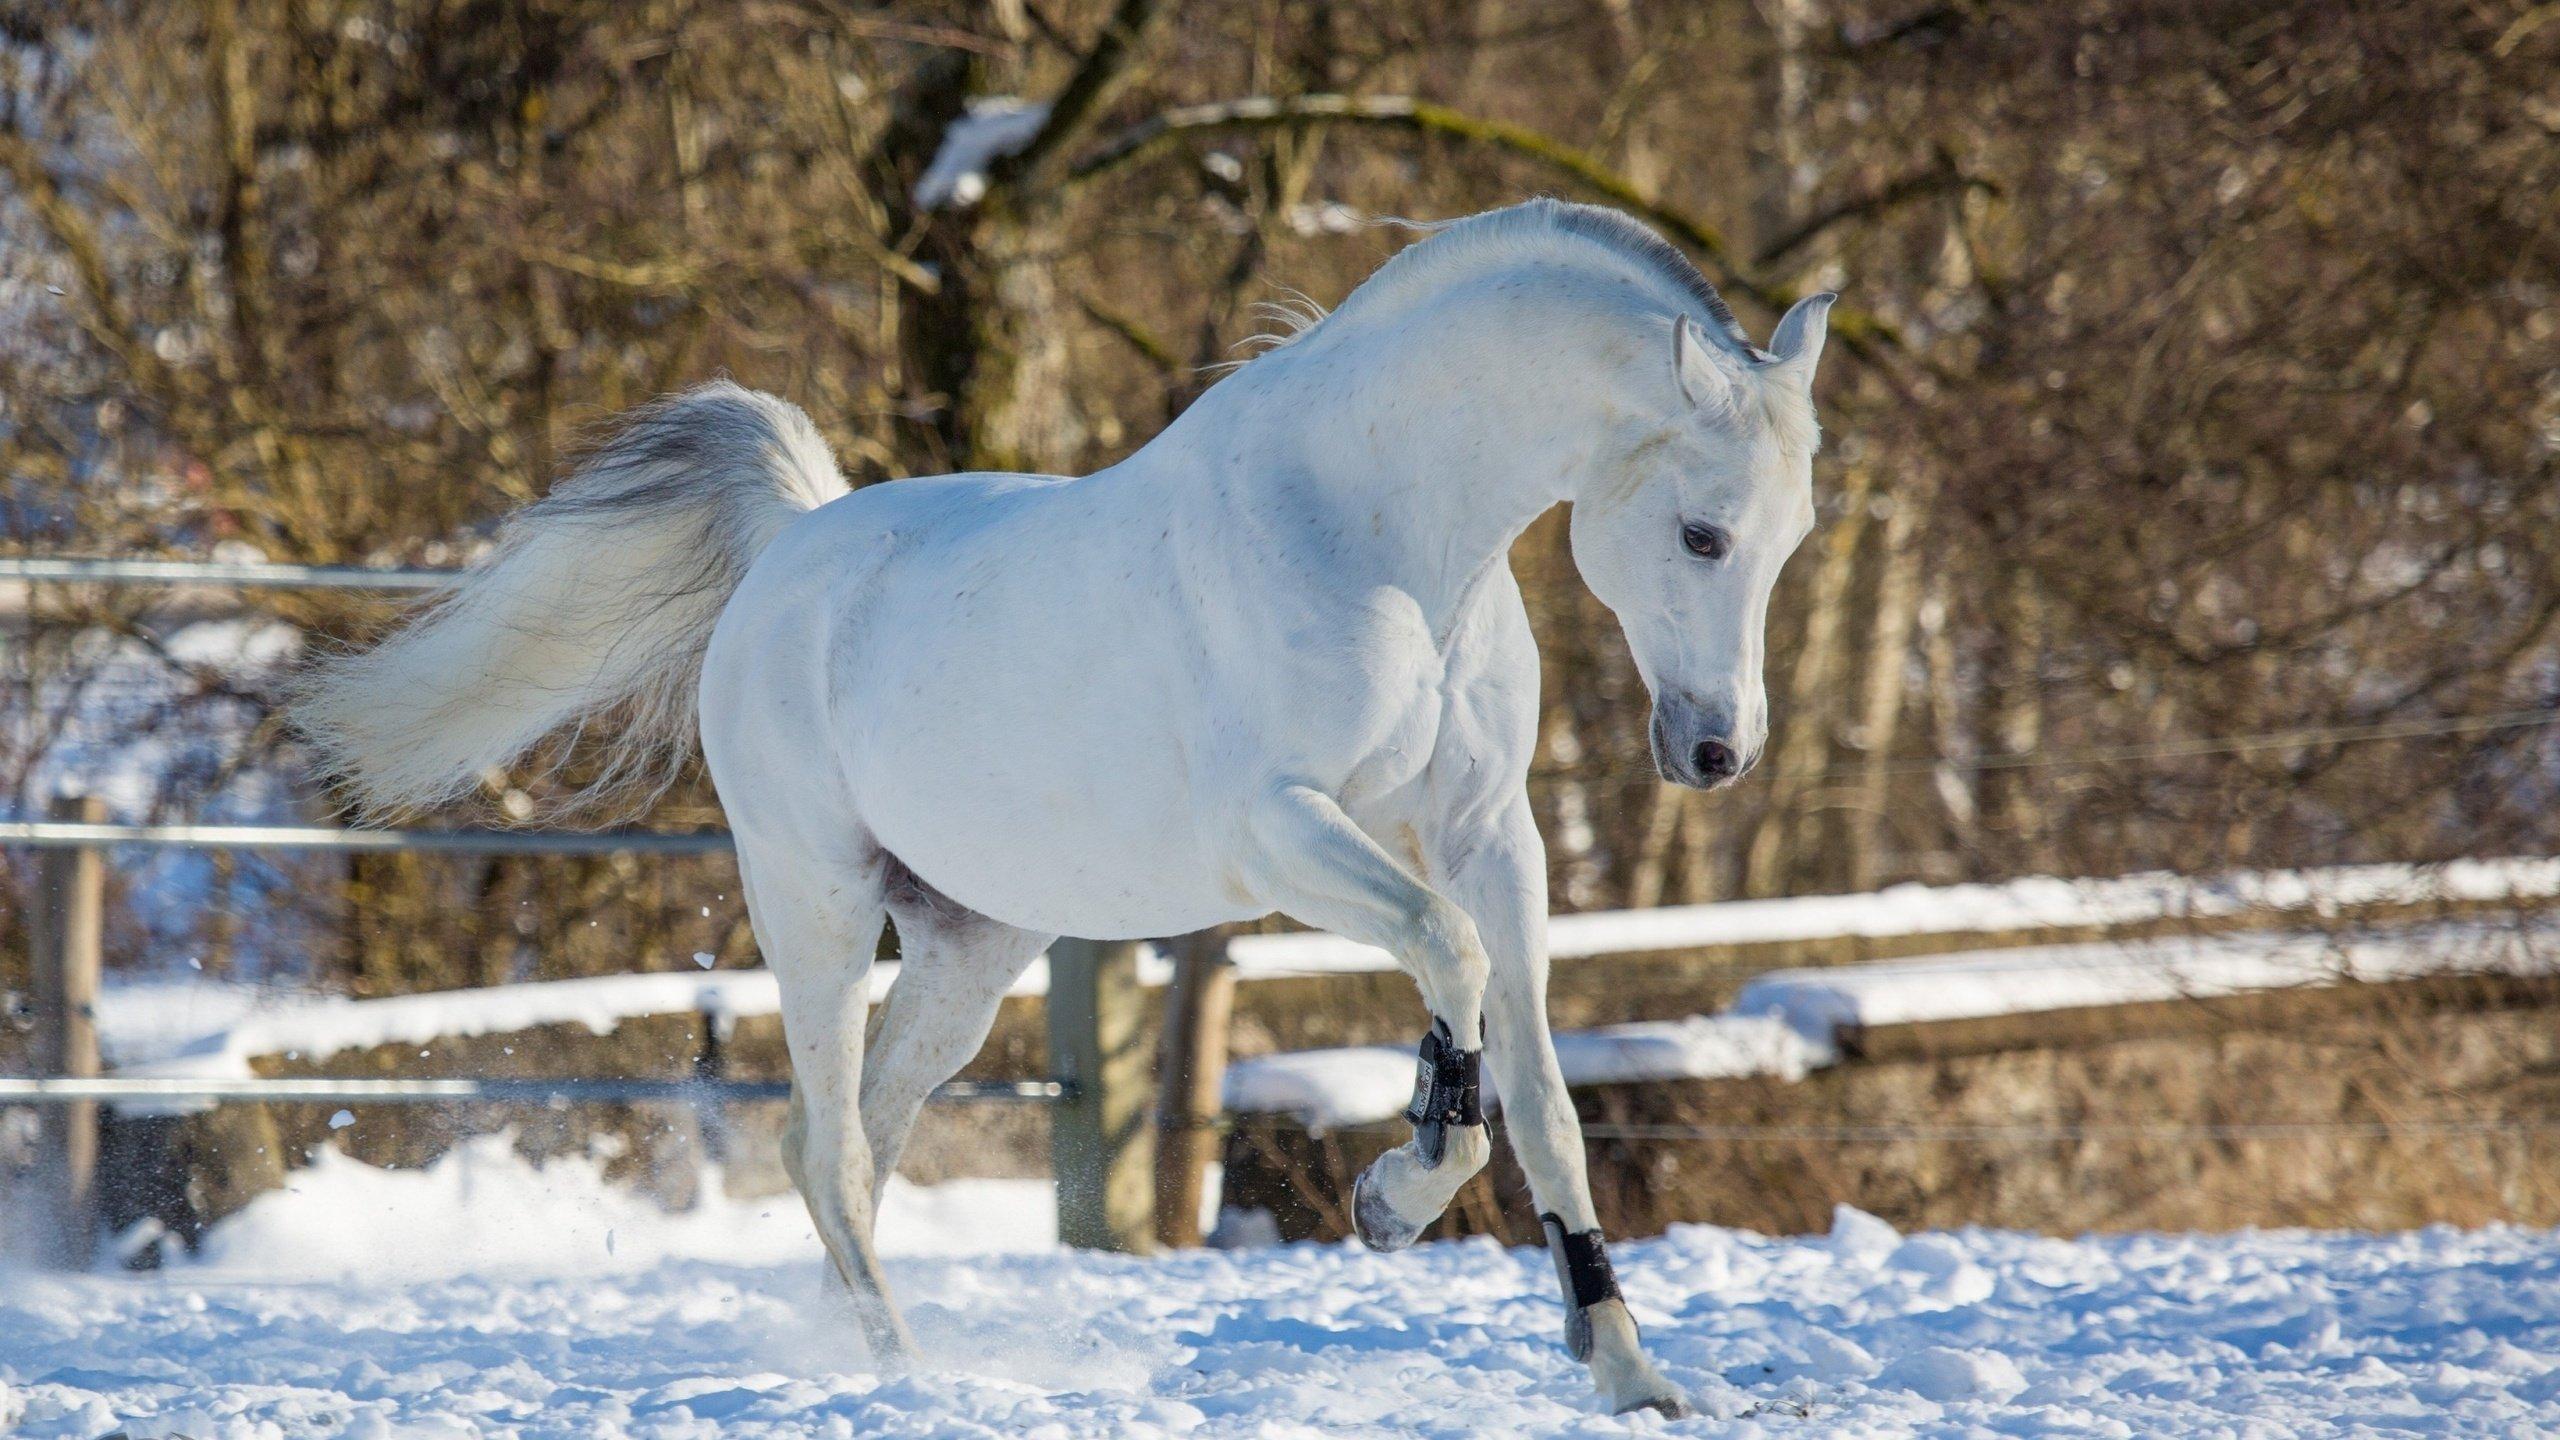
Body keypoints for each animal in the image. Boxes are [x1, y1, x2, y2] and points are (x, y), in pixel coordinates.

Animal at [293, 197, 1833, 1418]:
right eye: (1701, 532)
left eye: (1792, 539)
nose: (1716, 751)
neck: (1380, 537)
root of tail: (792, 547)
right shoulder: (1281, 835)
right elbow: (1447, 975)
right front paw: (1388, 1203)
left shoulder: (1489, 841)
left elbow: (1546, 1099)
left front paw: (1628, 1372)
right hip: (815, 905)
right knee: (831, 1145)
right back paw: (906, 1377)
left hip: (970, 953)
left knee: (846, 1144)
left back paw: (880, 1355)